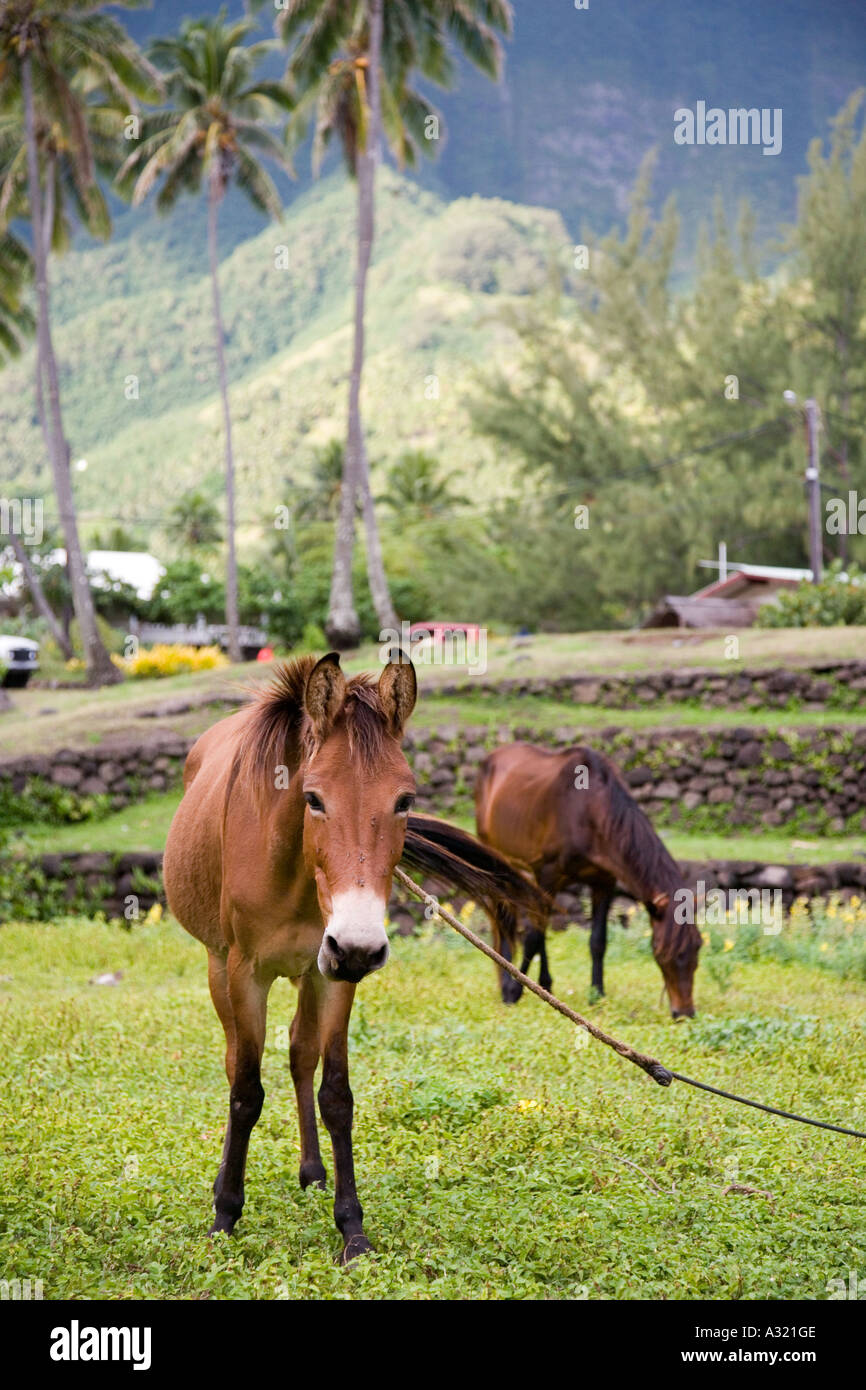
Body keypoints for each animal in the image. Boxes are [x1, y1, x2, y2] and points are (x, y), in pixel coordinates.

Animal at [162, 651, 546, 1262]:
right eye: (313, 798)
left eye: (404, 800)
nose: (359, 943)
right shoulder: (247, 974)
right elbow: (245, 1092)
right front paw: (225, 1214)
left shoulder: (338, 976)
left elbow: (335, 1094)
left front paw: (352, 1228)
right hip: (221, 967)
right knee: (235, 1063)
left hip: (312, 973)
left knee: (300, 1053)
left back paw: (313, 1172)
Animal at [474, 742, 702, 1017]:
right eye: (662, 952)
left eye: (698, 946)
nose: (685, 1013)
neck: (588, 808)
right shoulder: (548, 876)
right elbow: (533, 937)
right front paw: (512, 991)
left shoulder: (604, 882)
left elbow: (598, 941)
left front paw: (597, 995)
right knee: (505, 920)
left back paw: (543, 983)